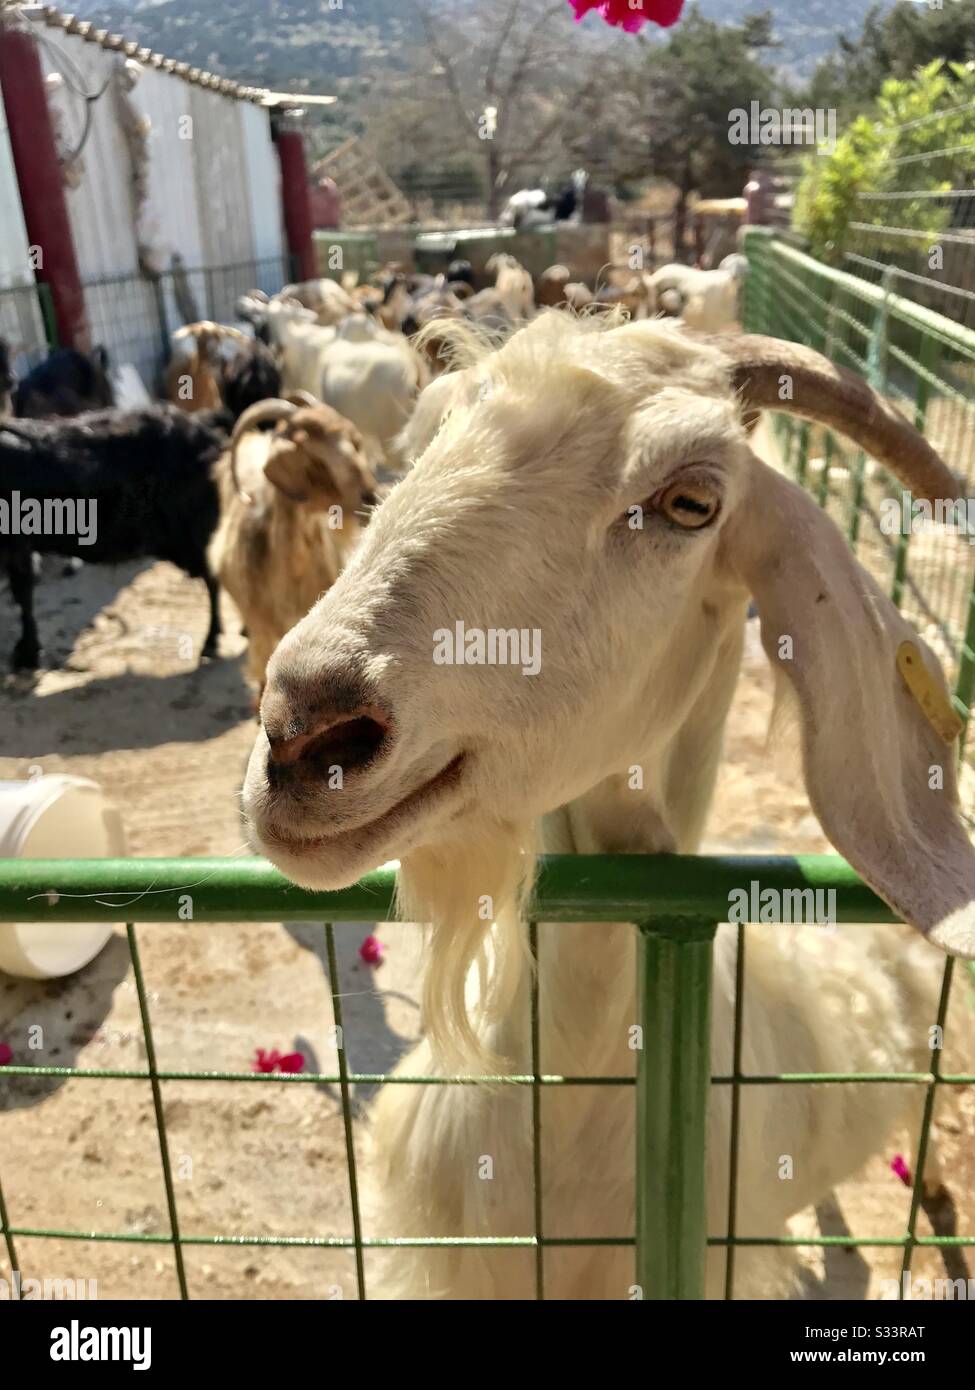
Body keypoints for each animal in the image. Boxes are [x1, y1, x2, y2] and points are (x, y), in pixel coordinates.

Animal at [0, 406, 226, 669]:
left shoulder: (17, 542)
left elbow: (22, 592)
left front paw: (27, 654)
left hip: (193, 527)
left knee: (214, 577)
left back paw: (213, 640)